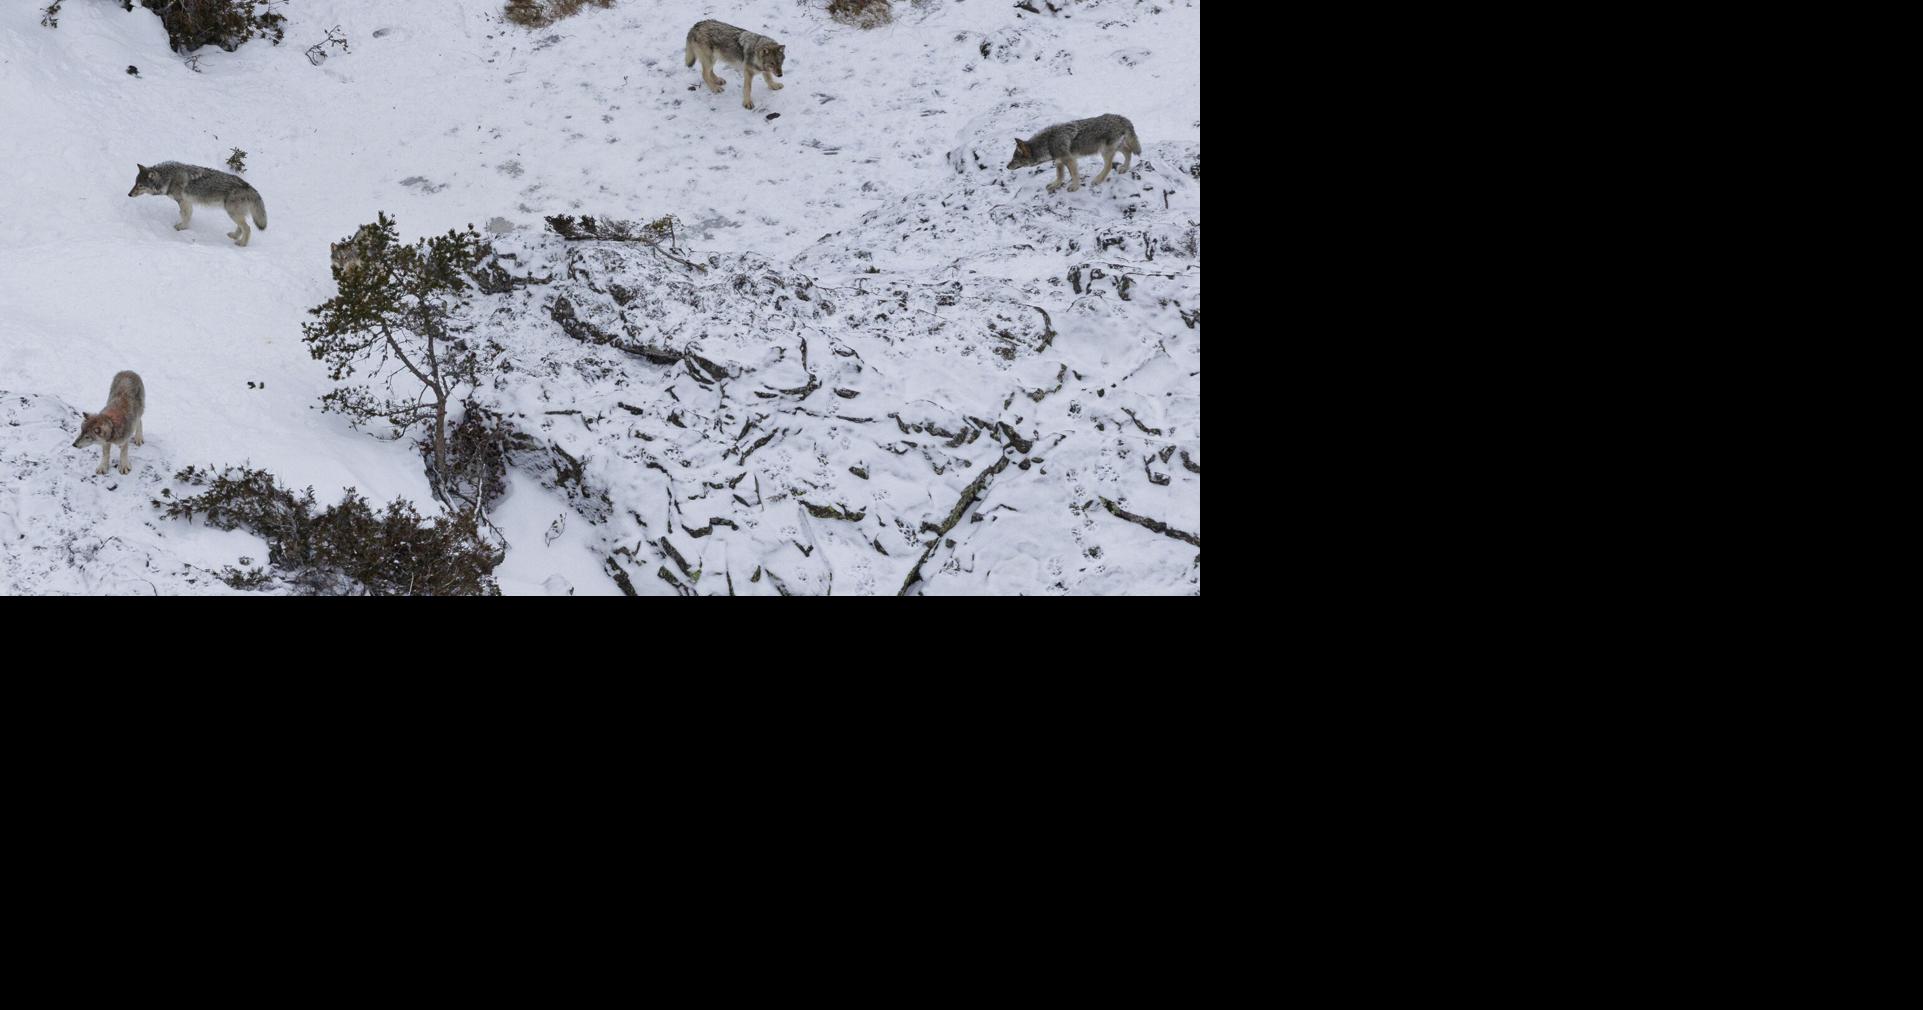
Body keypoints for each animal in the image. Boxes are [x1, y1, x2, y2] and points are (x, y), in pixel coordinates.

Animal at [128, 162, 269, 246]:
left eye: (140, 185)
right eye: (135, 183)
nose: (129, 194)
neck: (169, 178)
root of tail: (248, 186)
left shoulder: (183, 202)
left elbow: (185, 216)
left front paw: (181, 227)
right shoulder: (188, 202)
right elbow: (188, 215)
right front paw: (184, 227)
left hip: (232, 213)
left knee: (248, 228)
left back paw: (242, 244)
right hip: (233, 213)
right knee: (242, 227)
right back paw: (234, 236)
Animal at [1006, 114, 1143, 193]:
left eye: (1014, 159)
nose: (1007, 166)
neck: (1048, 143)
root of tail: (1122, 118)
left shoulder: (1070, 160)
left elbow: (1074, 175)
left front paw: (1074, 187)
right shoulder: (1059, 161)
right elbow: (1060, 175)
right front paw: (1055, 185)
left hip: (1104, 151)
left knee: (1109, 166)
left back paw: (1098, 180)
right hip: (1115, 148)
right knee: (1128, 152)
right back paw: (1124, 168)